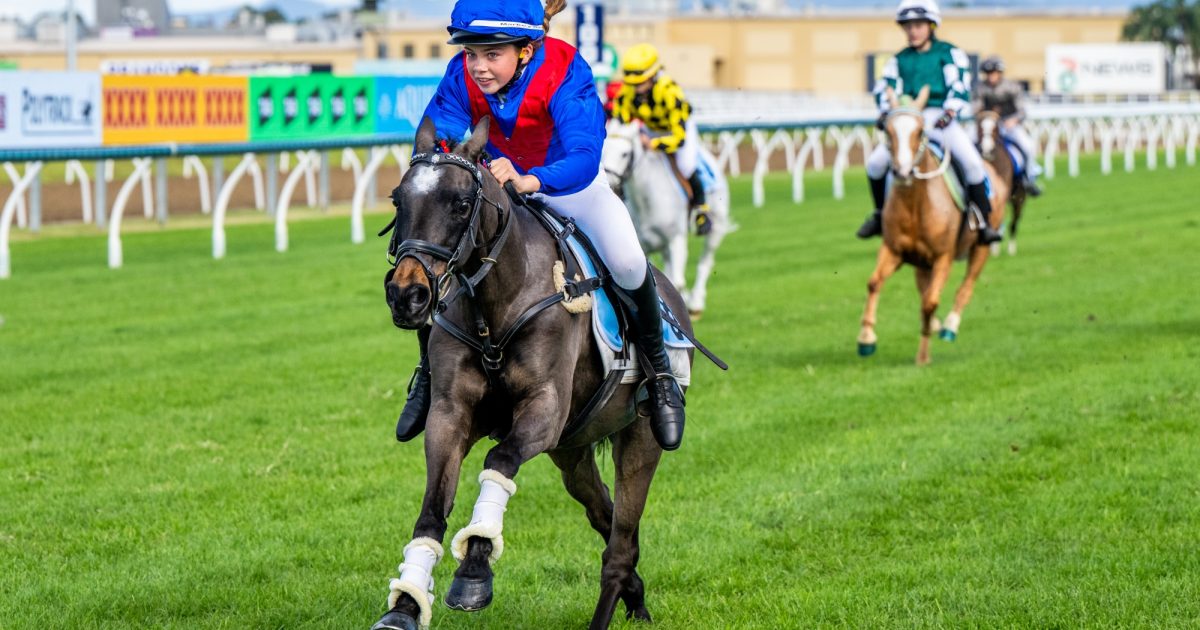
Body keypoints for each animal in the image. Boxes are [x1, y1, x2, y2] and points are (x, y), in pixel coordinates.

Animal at [376, 116, 695, 630]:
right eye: (398, 200)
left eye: (460, 203)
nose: (408, 295)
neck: (496, 307)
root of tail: (670, 295)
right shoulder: (450, 413)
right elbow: (431, 509)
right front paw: (406, 605)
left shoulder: (543, 409)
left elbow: (499, 460)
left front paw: (474, 571)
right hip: (572, 451)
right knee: (607, 518)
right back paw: (637, 597)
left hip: (641, 439)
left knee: (621, 543)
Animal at [601, 119, 732, 319]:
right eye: (602, 151)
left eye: (624, 154)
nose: (609, 184)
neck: (646, 200)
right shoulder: (642, 248)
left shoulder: (675, 240)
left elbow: (676, 281)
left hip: (716, 227)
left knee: (705, 262)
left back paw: (696, 303)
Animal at [856, 87, 1007, 365]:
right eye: (888, 130)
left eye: (919, 131)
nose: (903, 172)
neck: (915, 205)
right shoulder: (893, 250)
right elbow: (874, 283)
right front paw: (866, 339)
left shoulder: (943, 258)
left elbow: (930, 302)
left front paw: (924, 355)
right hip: (921, 262)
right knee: (923, 288)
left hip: (980, 248)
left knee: (966, 286)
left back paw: (949, 326)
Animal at [976, 109, 1026, 256]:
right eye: (979, 126)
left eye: (995, 128)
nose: (986, 150)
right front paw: (994, 247)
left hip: (1019, 198)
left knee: (1014, 221)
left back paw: (1011, 248)